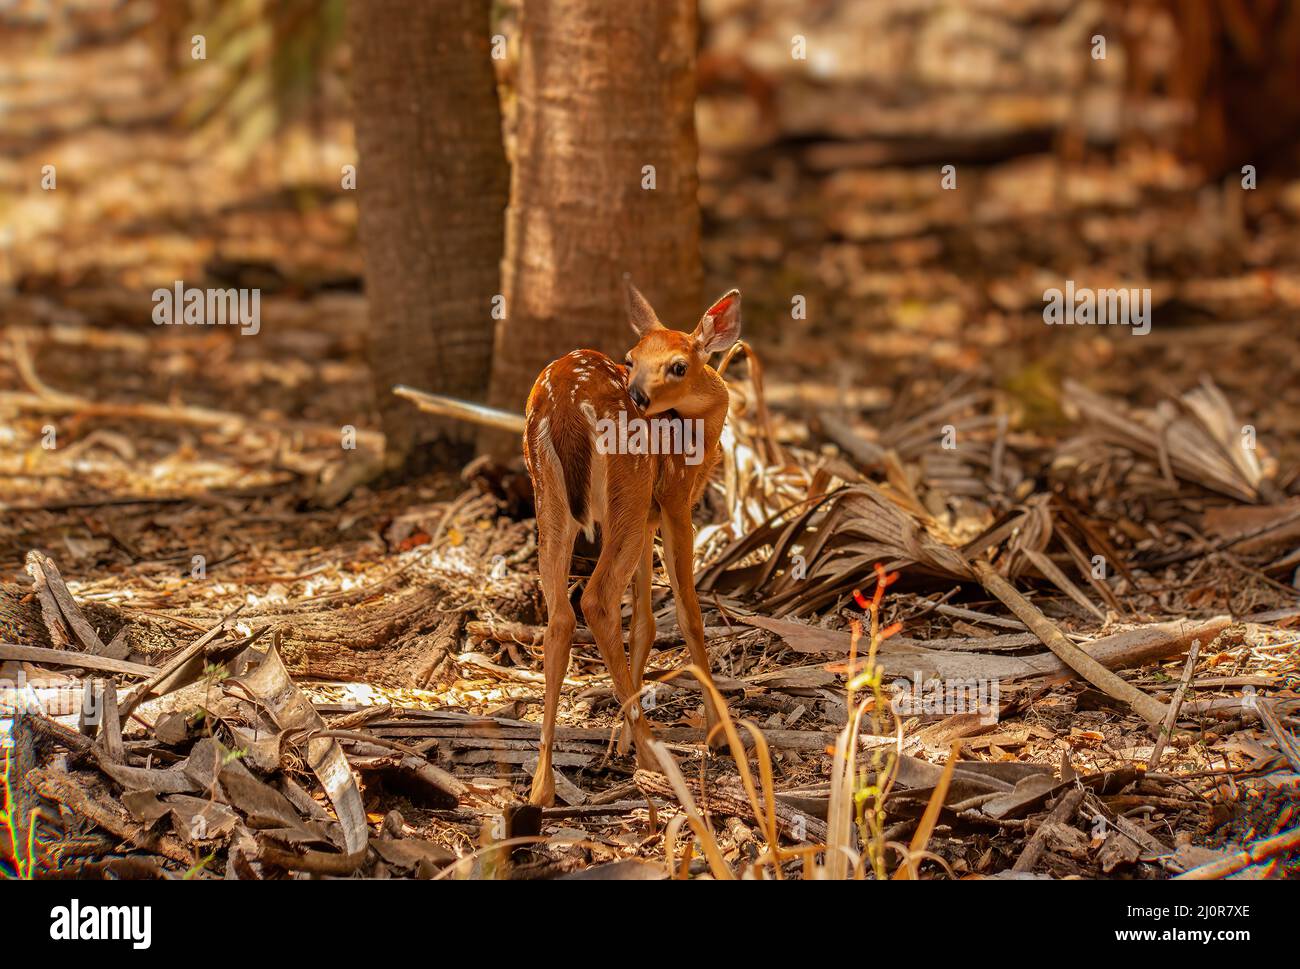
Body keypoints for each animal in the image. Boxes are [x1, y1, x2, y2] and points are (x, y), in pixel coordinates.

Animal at [521, 280, 742, 806]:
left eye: (679, 365)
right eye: (631, 357)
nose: (639, 394)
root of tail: (565, 407)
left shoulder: (647, 518)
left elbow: (643, 623)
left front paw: (622, 738)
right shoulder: (675, 500)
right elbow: (687, 614)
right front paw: (719, 733)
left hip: (551, 498)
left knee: (560, 615)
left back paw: (542, 785)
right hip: (628, 483)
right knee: (596, 599)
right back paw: (652, 761)